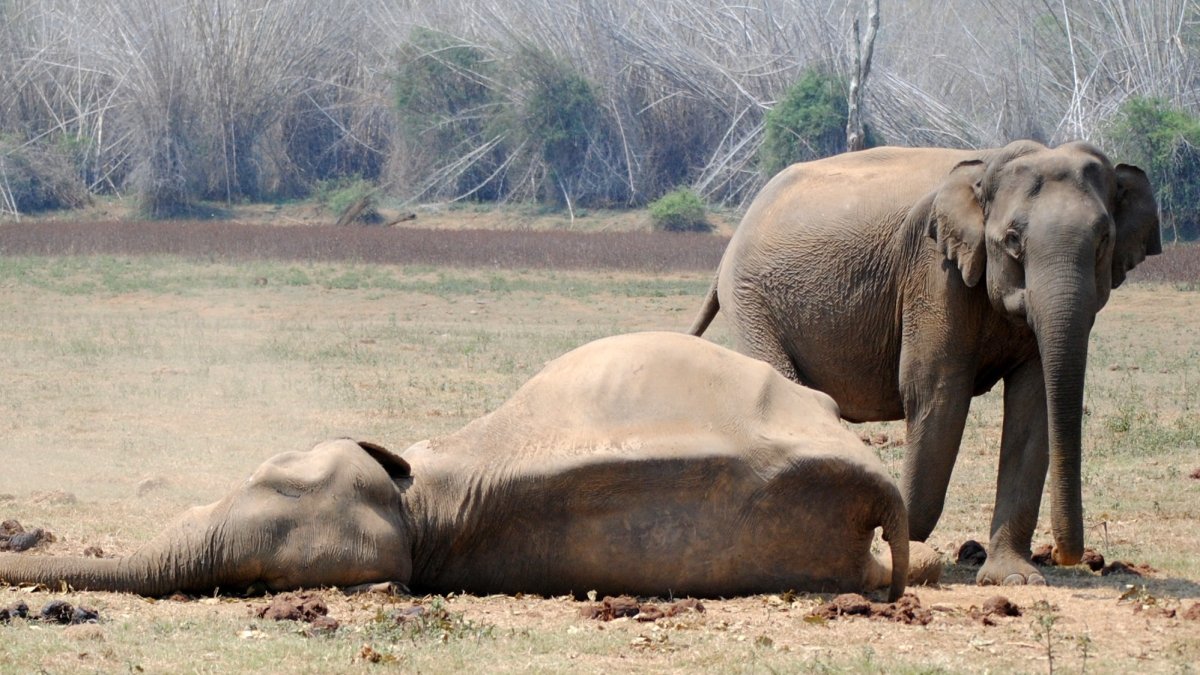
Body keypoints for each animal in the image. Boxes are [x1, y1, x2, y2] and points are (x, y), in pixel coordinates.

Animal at [689, 141, 1161, 586]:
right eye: (1012, 240)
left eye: (1104, 240)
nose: (1068, 555)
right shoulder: (933, 270)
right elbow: (937, 389)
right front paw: (900, 550)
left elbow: (1033, 406)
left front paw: (1015, 577)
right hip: (752, 301)